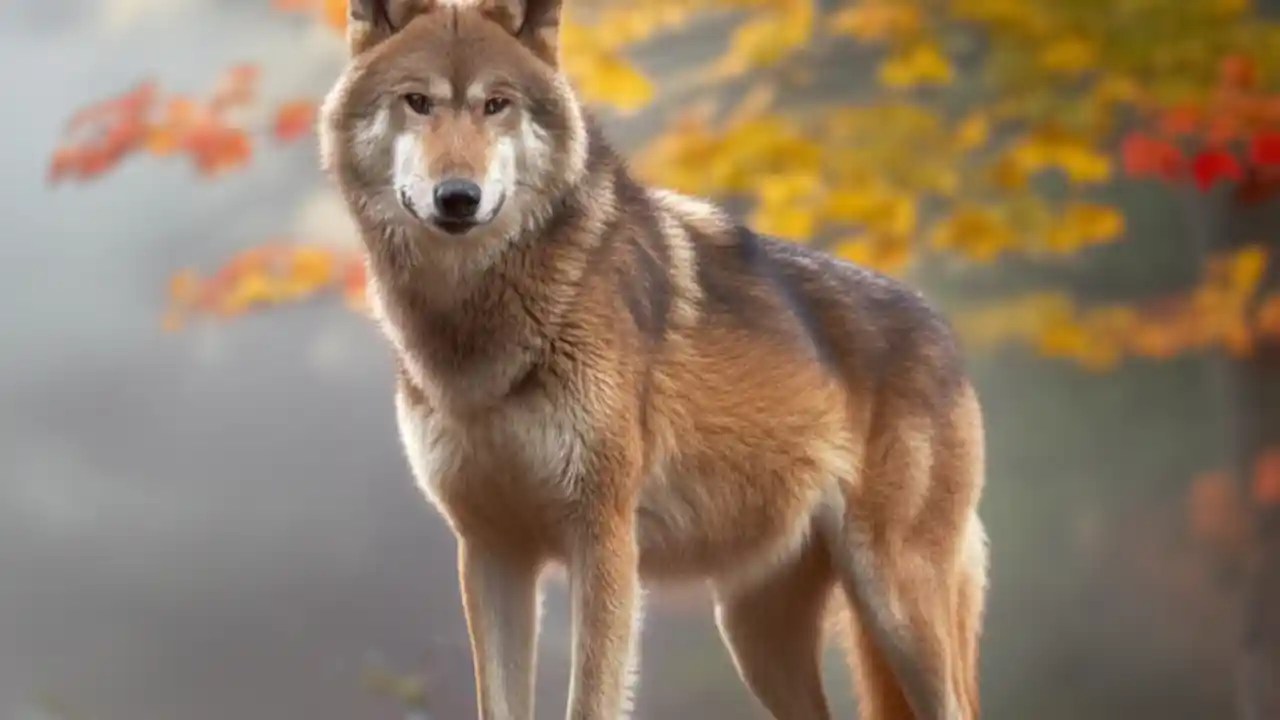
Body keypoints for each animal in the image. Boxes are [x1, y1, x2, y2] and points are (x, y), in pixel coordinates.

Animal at [320, 1, 988, 718]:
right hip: (754, 634)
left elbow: (590, 700)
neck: (475, 330)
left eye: (495, 104)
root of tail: (944, 333)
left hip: (895, 605)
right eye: (417, 102)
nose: (458, 197)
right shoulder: (492, 550)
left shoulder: (605, 540)